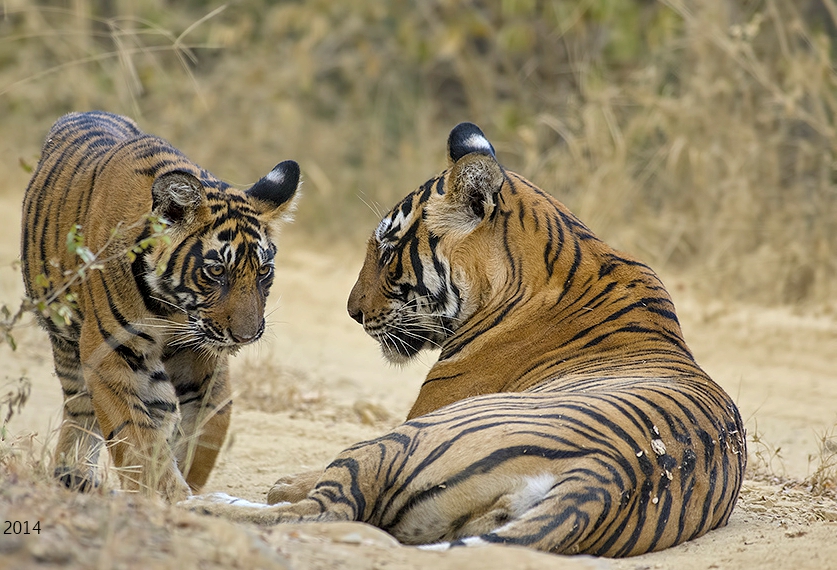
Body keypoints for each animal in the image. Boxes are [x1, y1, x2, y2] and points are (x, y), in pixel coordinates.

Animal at [20, 111, 300, 503]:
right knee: (80, 408)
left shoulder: (200, 356)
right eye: (216, 271)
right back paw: (73, 474)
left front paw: (187, 484)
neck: (173, 310)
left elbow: (211, 424)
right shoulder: (109, 352)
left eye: (263, 271)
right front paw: (166, 495)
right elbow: (136, 435)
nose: (245, 337)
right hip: (64, 339)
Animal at [184, 122, 746, 556]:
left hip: (400, 440)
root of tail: (603, 479)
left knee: (324, 510)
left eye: (387, 249)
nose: (352, 312)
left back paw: (203, 504)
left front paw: (279, 483)